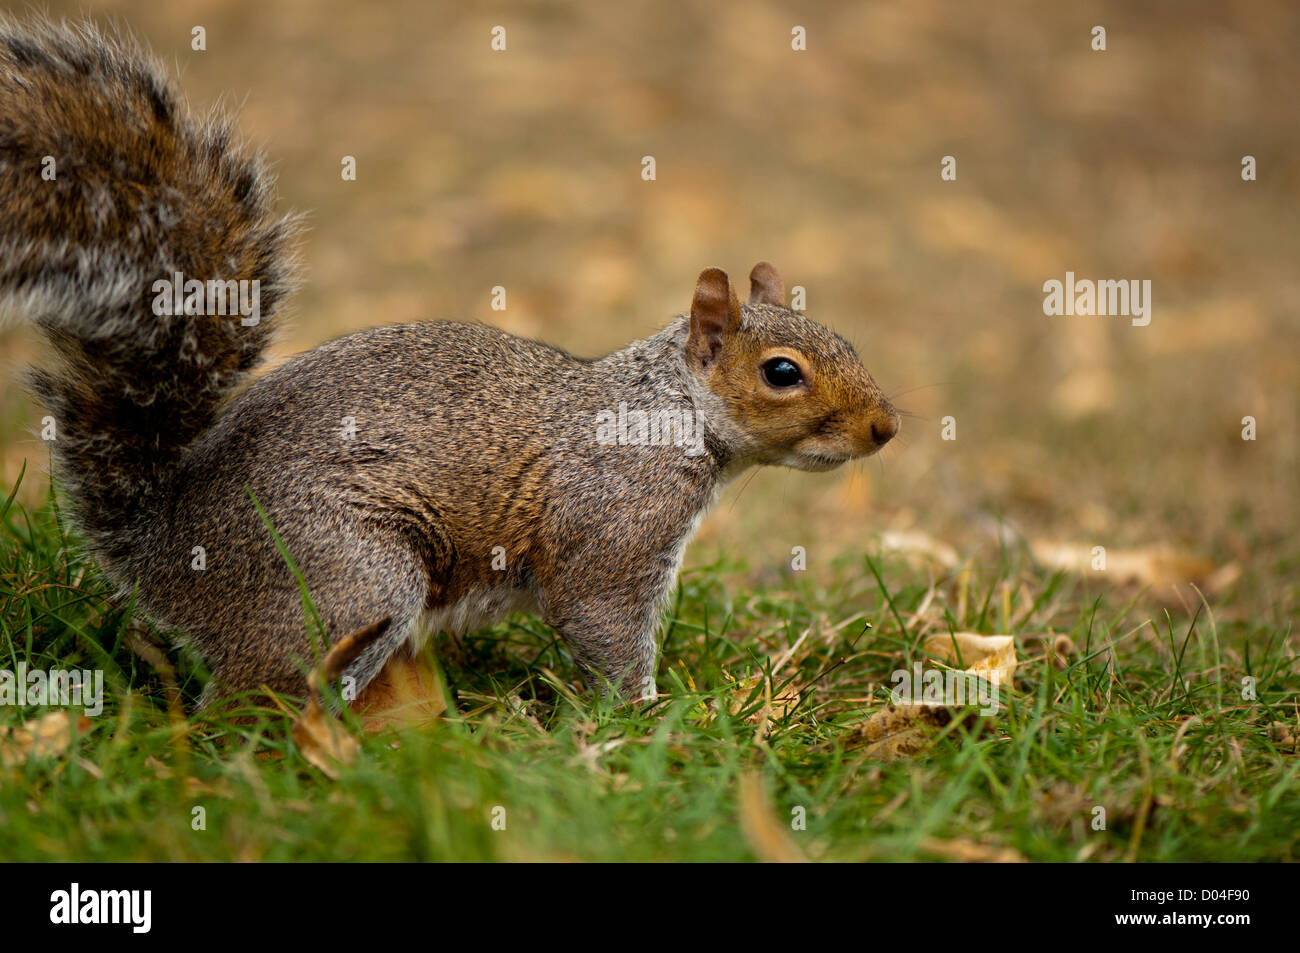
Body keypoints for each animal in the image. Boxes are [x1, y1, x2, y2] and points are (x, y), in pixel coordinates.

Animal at [0, 16, 900, 706]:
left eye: (849, 341)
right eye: (781, 372)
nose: (886, 429)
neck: (666, 406)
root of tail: (159, 546)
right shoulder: (613, 526)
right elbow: (603, 621)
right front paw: (649, 721)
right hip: (351, 577)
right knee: (252, 700)